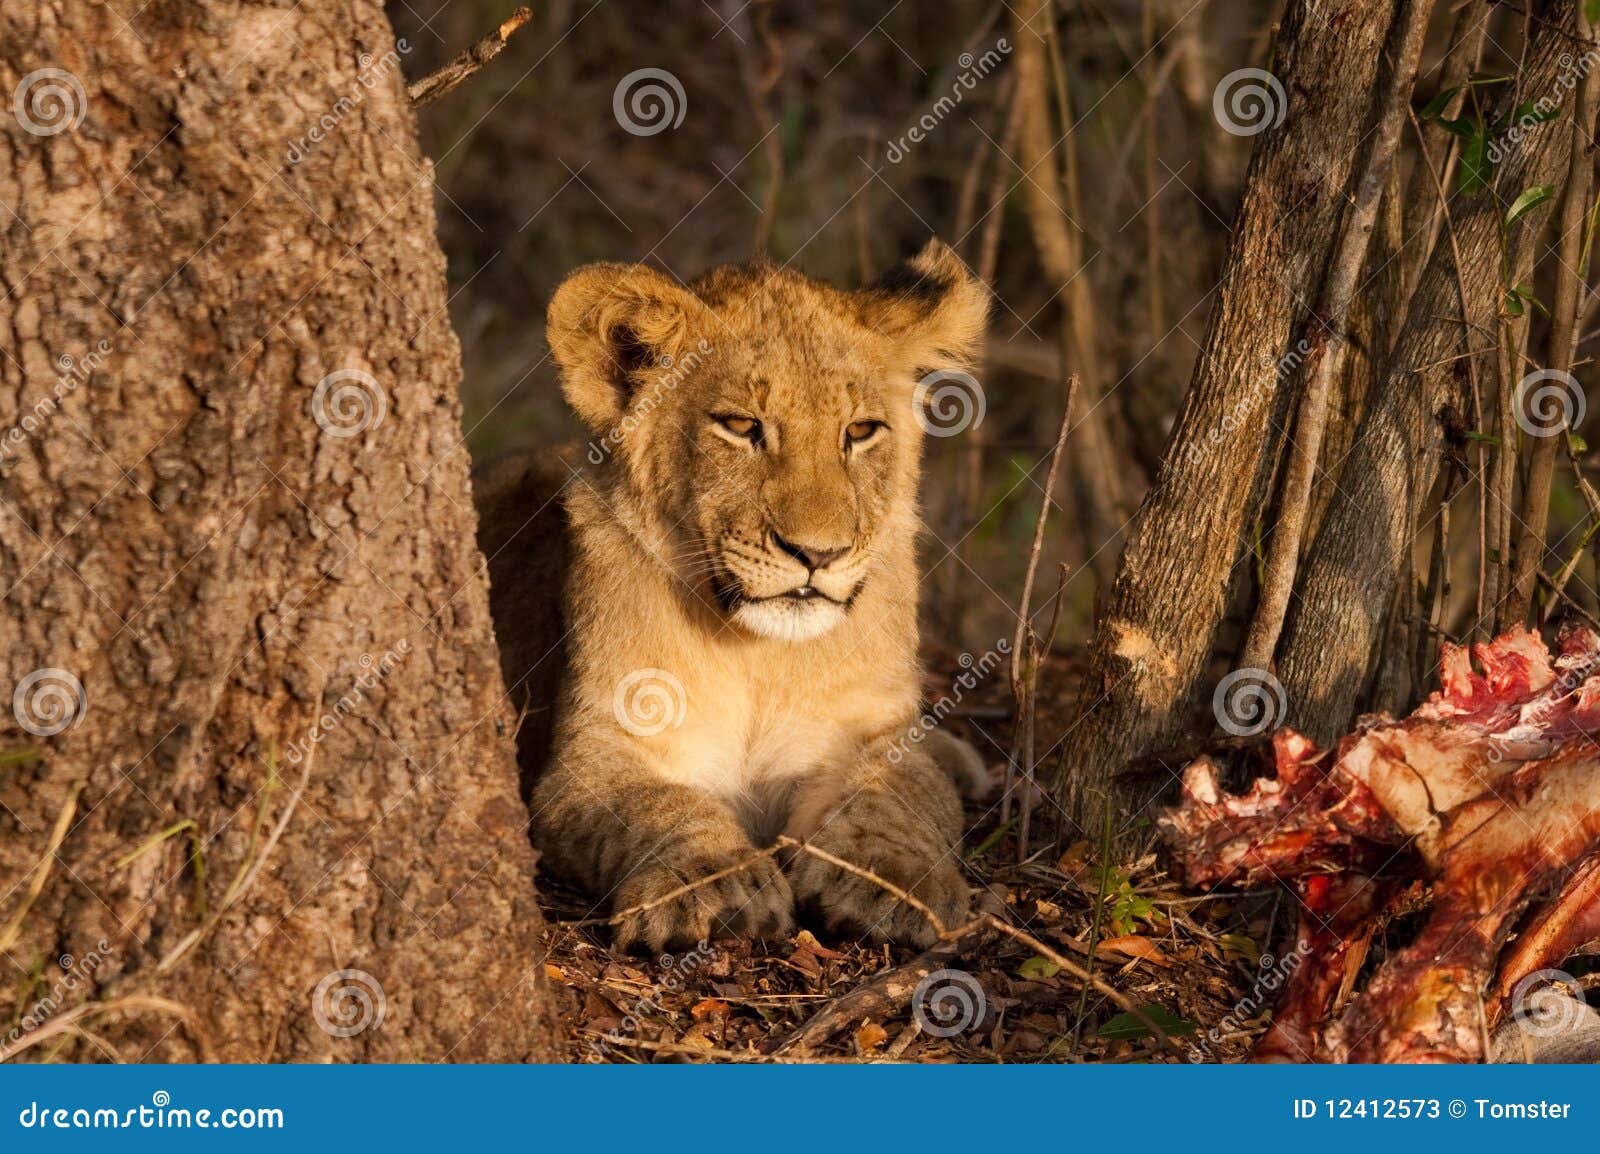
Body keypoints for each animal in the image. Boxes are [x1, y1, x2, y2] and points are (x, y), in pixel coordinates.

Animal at [474, 238, 991, 952]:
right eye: (742, 426)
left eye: (861, 431)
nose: (818, 554)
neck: (760, 658)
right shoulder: (593, 755)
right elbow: (660, 804)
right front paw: (714, 883)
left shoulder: (871, 732)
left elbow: (899, 793)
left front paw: (894, 882)